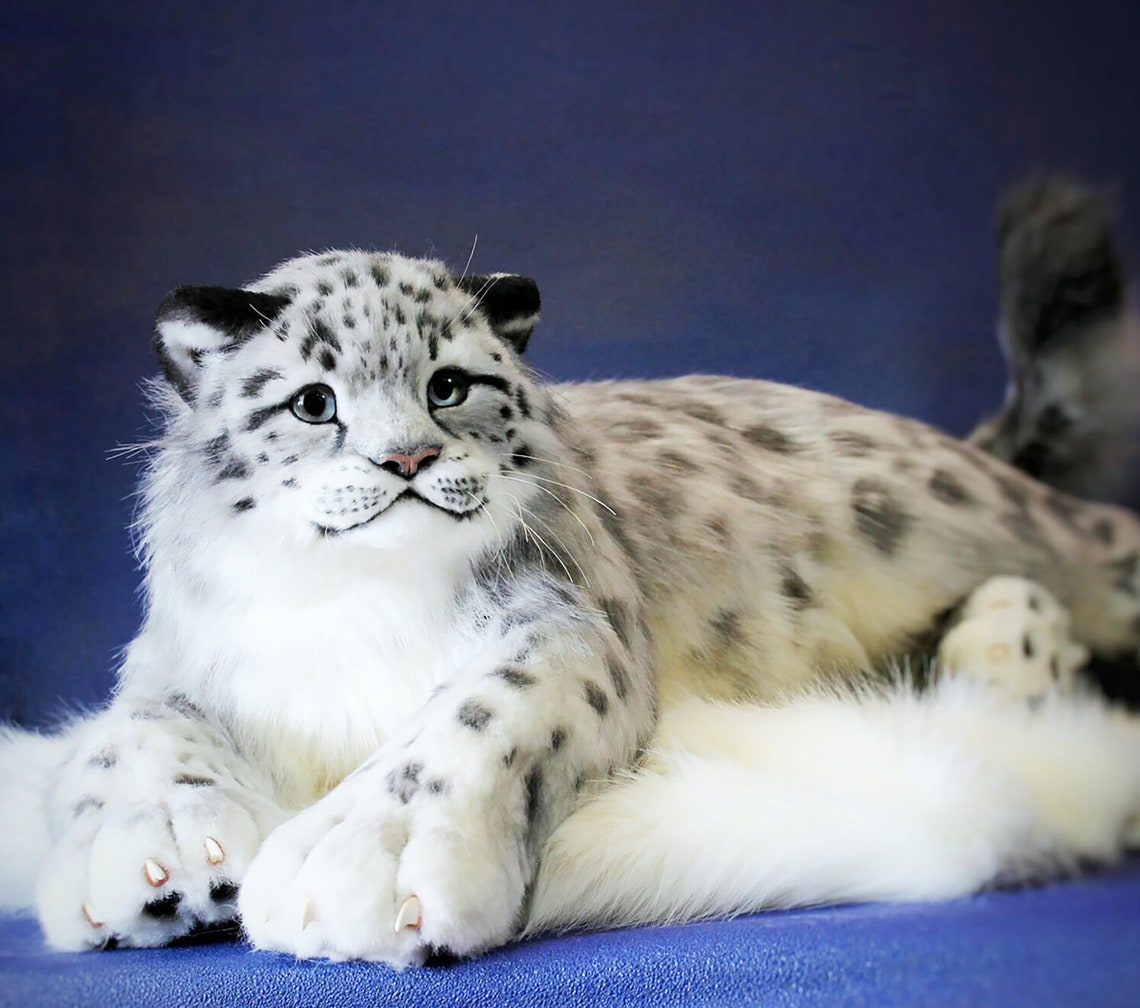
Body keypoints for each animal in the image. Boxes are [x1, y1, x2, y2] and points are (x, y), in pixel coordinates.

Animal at [2, 178, 1140, 966]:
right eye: (313, 402)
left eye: (449, 384)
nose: (407, 459)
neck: (355, 605)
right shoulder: (184, 653)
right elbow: (128, 728)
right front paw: (155, 862)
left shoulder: (566, 622)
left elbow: (472, 713)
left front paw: (356, 861)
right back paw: (1004, 647)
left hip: (1036, 529)